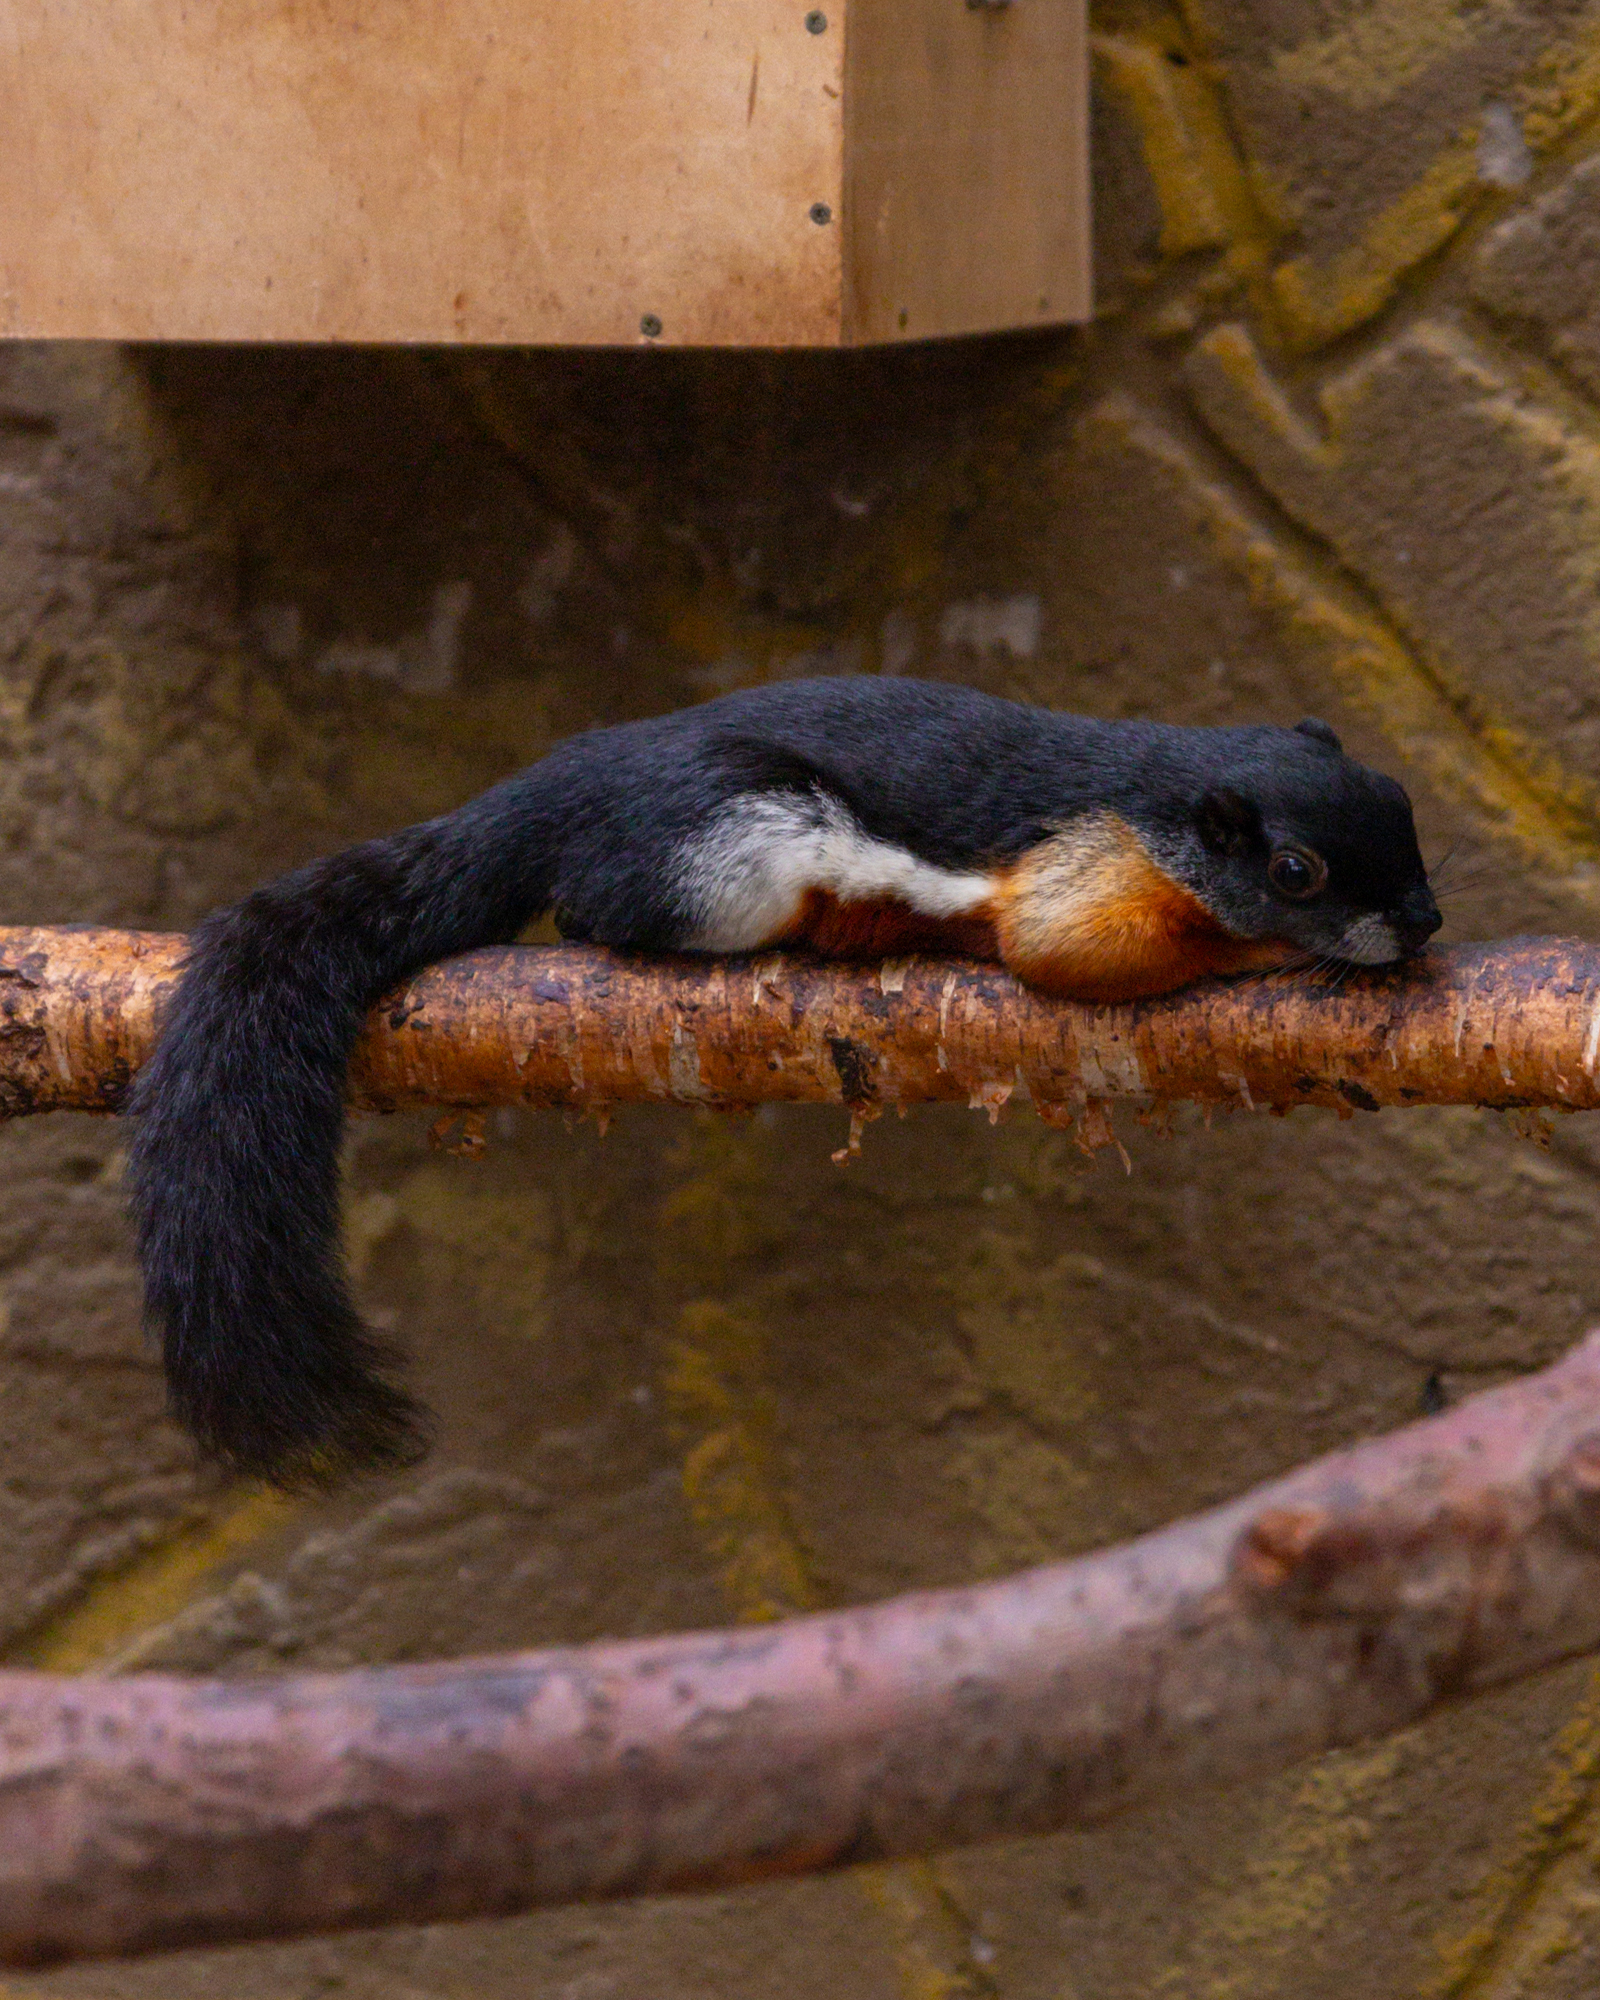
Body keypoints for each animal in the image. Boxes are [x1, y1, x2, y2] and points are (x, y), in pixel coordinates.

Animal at [131, 680, 1440, 1480]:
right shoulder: (1083, 875)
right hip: (731, 848)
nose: (1423, 921)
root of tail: (555, 787)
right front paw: (1261, 950)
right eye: (1295, 867)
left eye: (1405, 807)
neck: (1160, 788)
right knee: (600, 908)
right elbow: (1072, 952)